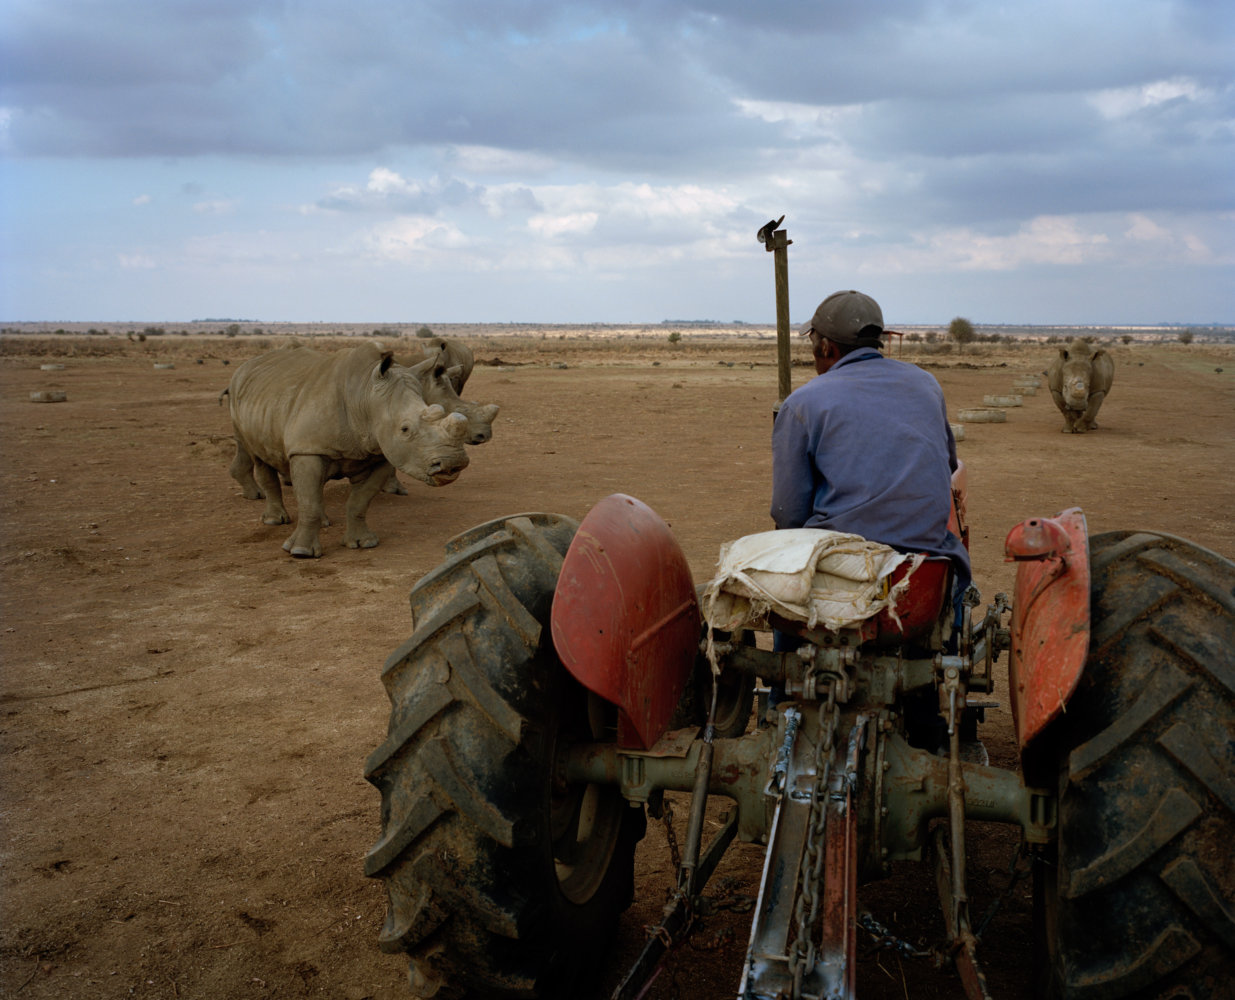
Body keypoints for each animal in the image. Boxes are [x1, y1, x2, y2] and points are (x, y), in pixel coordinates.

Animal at [225, 343, 470, 557]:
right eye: (405, 429)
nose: (453, 463)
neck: (365, 395)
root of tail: (245, 367)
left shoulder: (380, 455)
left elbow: (359, 501)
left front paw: (364, 543)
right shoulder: (307, 449)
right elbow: (309, 503)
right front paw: (301, 552)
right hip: (243, 401)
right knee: (259, 457)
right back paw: (275, 520)